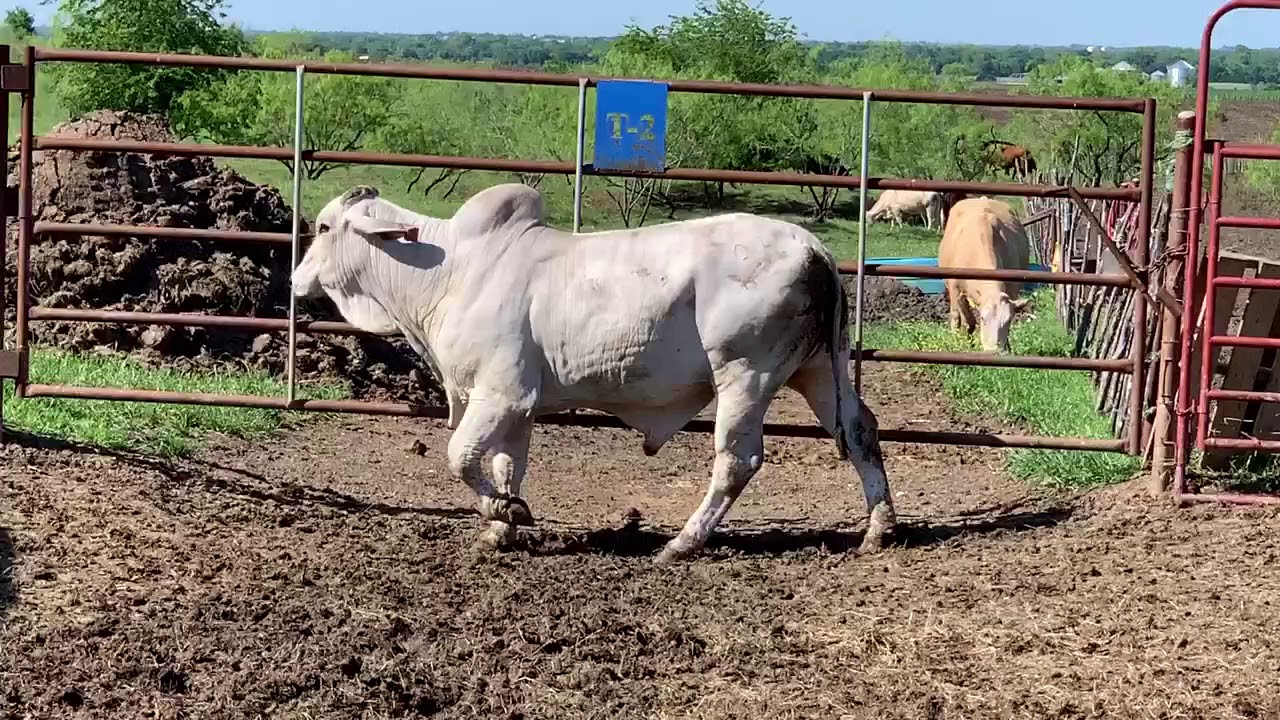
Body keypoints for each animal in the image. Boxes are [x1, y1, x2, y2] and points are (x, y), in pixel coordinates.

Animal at [291, 183, 898, 564]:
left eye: (323, 226)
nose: (296, 282)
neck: (450, 271)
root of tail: (815, 248)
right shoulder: (518, 406)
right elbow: (508, 465)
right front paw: (503, 526)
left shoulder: (500, 395)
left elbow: (460, 456)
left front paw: (501, 511)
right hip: (817, 370)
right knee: (859, 431)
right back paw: (879, 529)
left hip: (744, 375)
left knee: (738, 460)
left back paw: (681, 543)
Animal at [937, 197, 1032, 353]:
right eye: (982, 318)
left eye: (1008, 320)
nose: (994, 350)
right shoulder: (956, 290)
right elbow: (969, 320)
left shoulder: (1012, 289)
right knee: (956, 316)